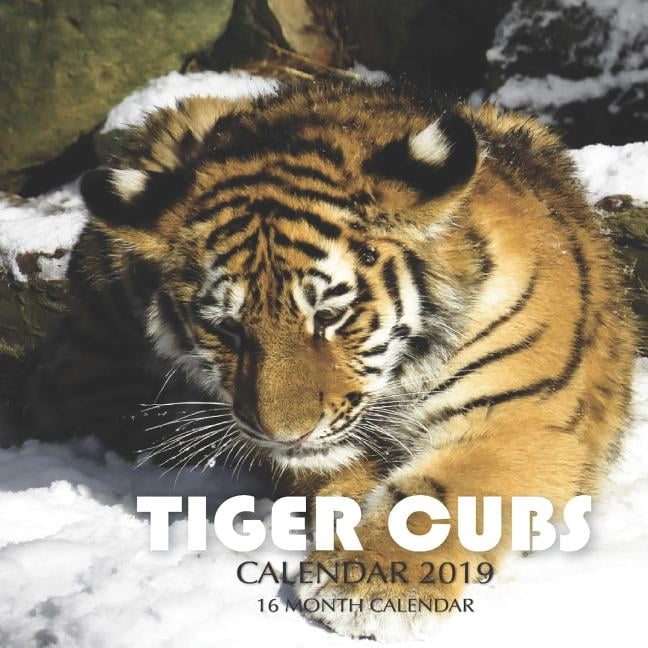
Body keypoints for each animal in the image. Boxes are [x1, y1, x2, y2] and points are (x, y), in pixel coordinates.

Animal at [26, 81, 636, 639]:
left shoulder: (519, 412)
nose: (286, 435)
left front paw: (368, 586)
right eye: (227, 328)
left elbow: (441, 497)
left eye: (330, 316)